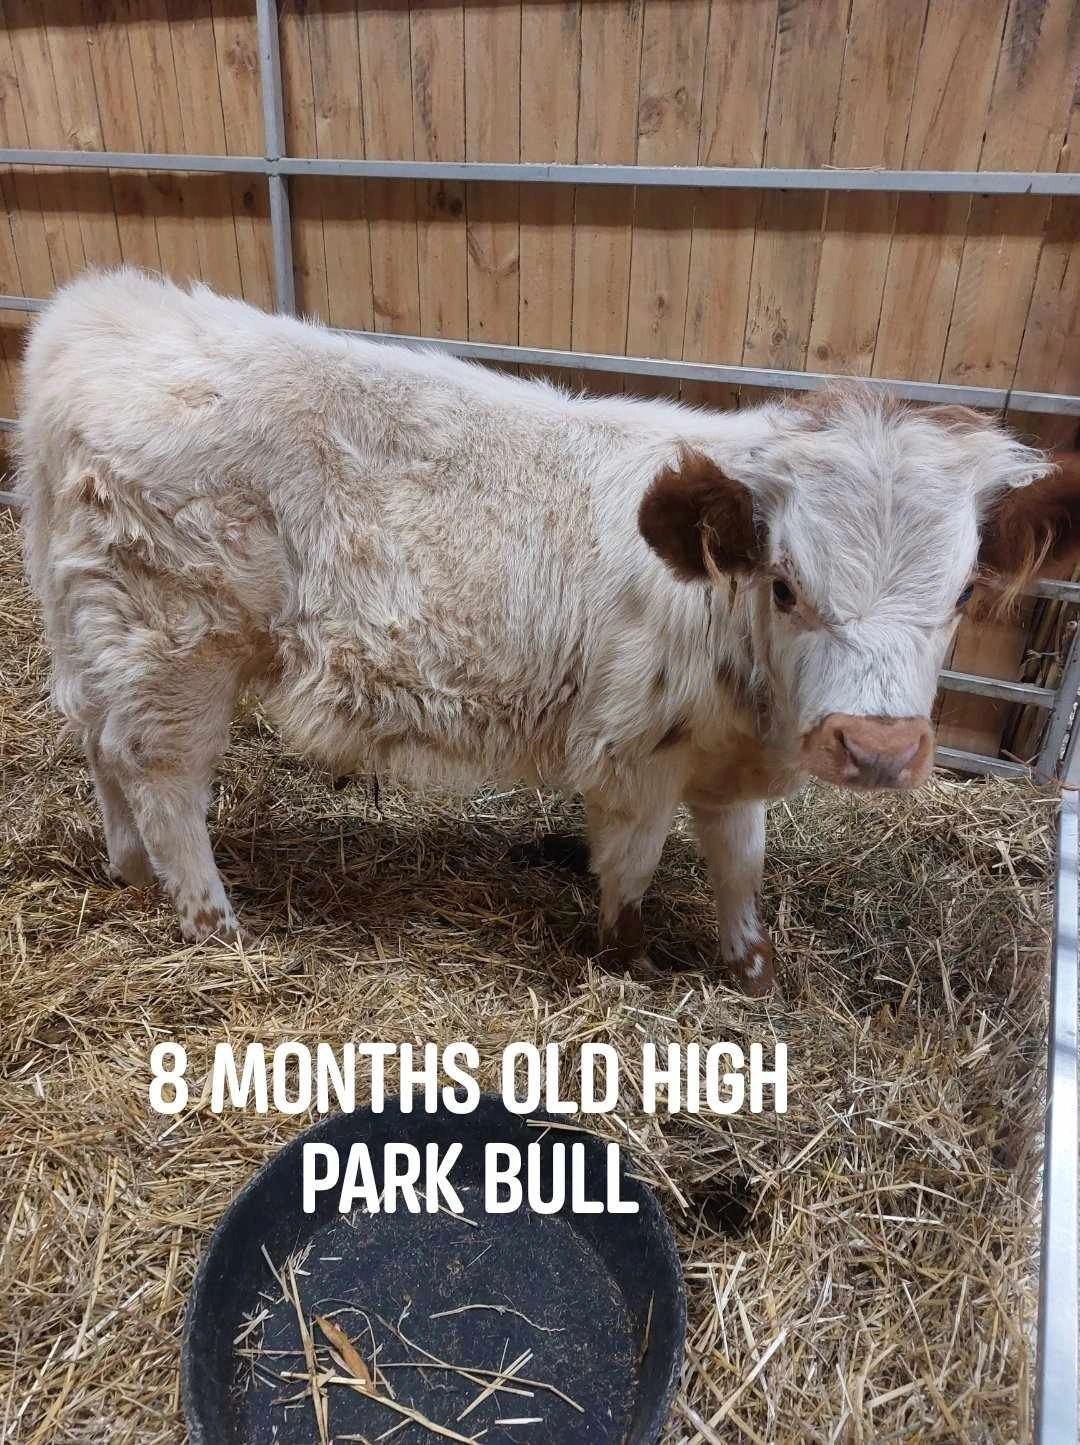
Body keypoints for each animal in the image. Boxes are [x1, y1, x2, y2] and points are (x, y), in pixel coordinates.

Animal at [17, 269, 1078, 993]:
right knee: (164, 780)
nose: (879, 748)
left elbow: (742, 867)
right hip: (173, 645)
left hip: (100, 637)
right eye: (785, 584)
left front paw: (753, 970)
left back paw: (128, 870)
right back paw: (214, 922)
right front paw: (628, 964)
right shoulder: (634, 758)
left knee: (101, 748)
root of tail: (98, 313)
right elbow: (633, 872)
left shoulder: (728, 770)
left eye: (962, 592)